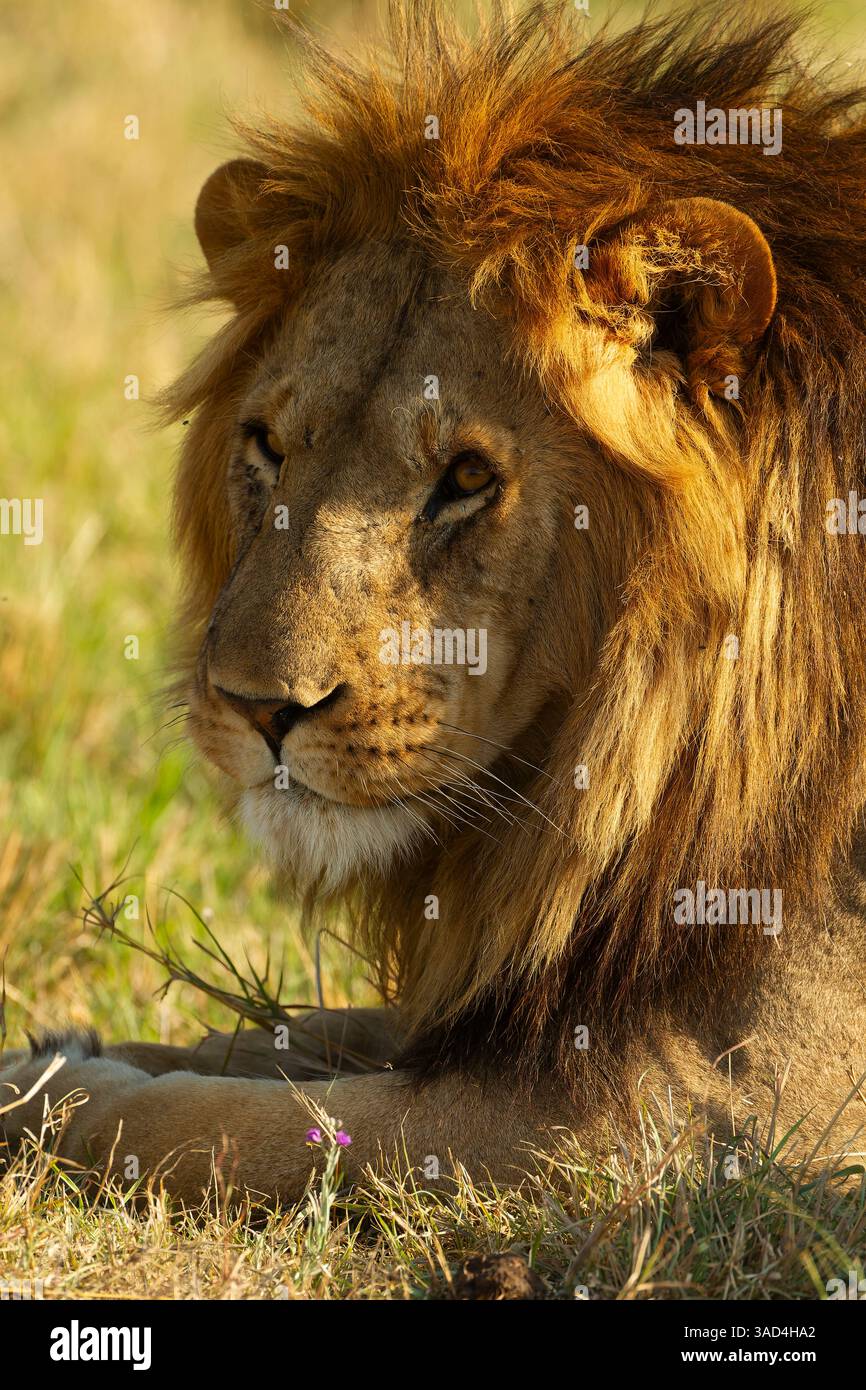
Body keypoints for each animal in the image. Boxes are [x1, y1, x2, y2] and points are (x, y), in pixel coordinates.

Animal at [4, 1, 866, 1204]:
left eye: (464, 477)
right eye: (266, 445)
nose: (256, 708)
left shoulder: (706, 1120)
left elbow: (238, 1122)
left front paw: (56, 1094)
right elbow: (291, 1037)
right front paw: (58, 1046)